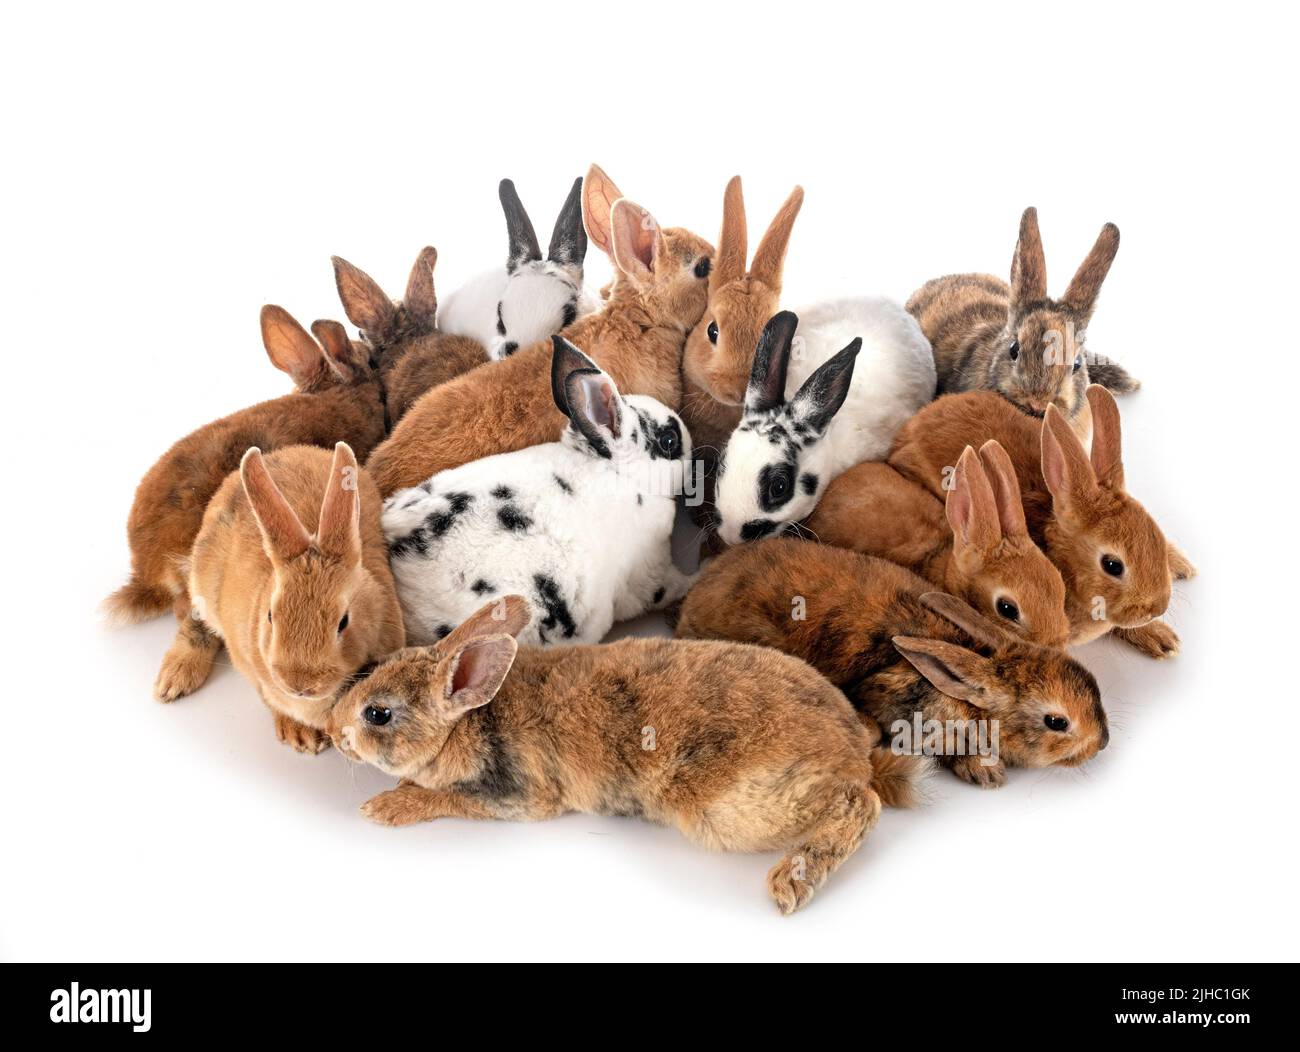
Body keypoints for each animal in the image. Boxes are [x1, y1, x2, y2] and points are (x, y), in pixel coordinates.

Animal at [325, 595, 925, 915]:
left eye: (377, 714)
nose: (332, 731)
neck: (469, 719)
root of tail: (855, 755)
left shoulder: (516, 796)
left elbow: (445, 798)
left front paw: (385, 807)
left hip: (729, 808)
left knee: (861, 805)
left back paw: (791, 881)